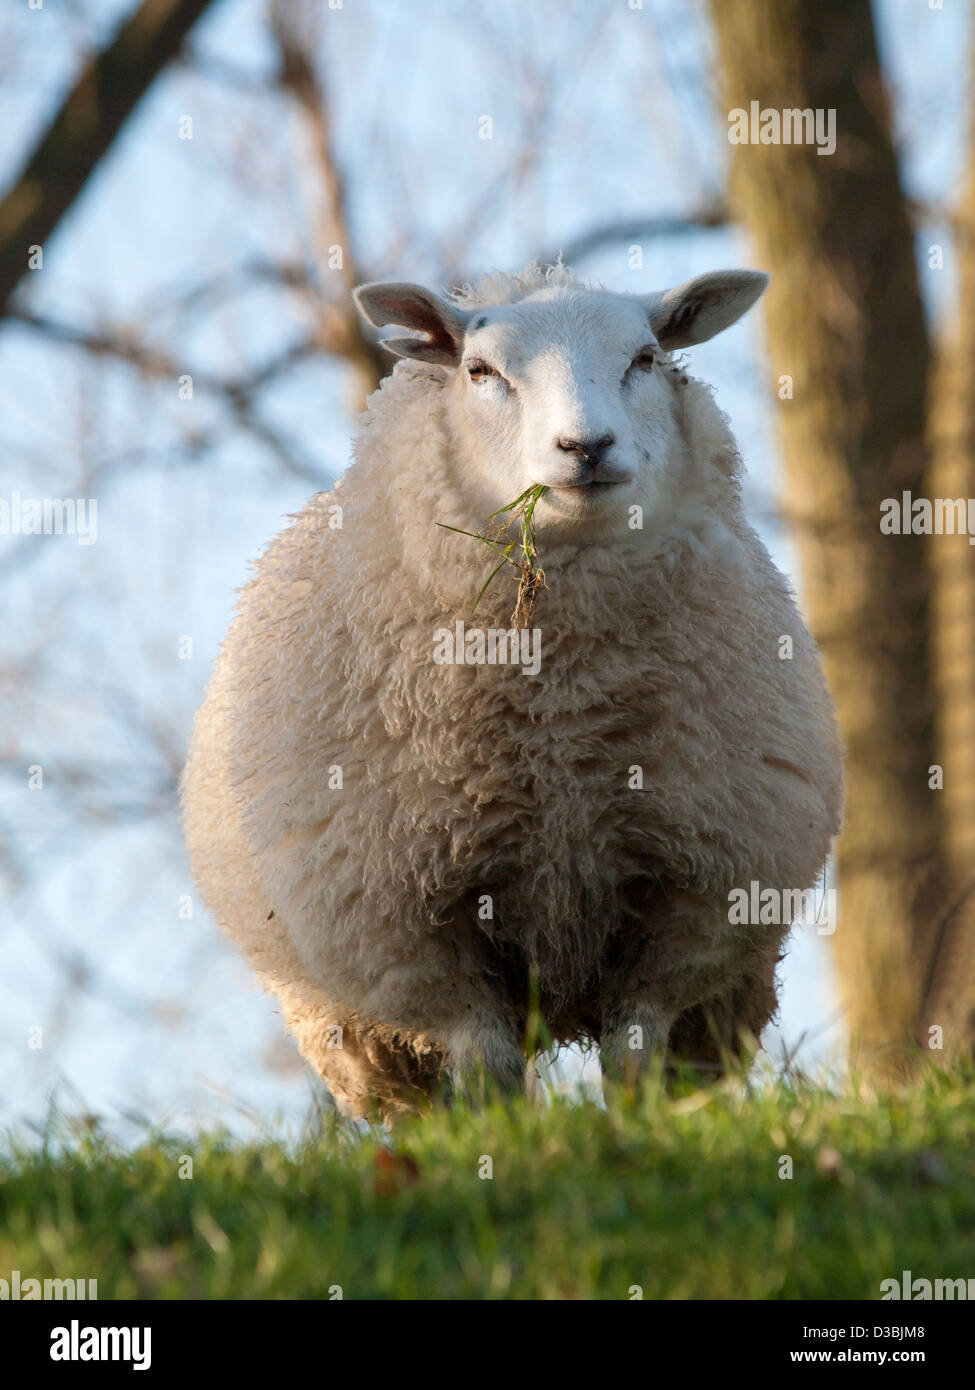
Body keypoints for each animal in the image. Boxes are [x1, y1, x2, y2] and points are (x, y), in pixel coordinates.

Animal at [181, 261, 843, 1121]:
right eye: (479, 371)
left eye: (645, 358)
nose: (585, 447)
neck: (558, 715)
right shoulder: (418, 928)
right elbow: (488, 1070)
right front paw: (503, 1141)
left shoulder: (684, 902)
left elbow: (632, 1057)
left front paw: (633, 1132)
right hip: (348, 1022)